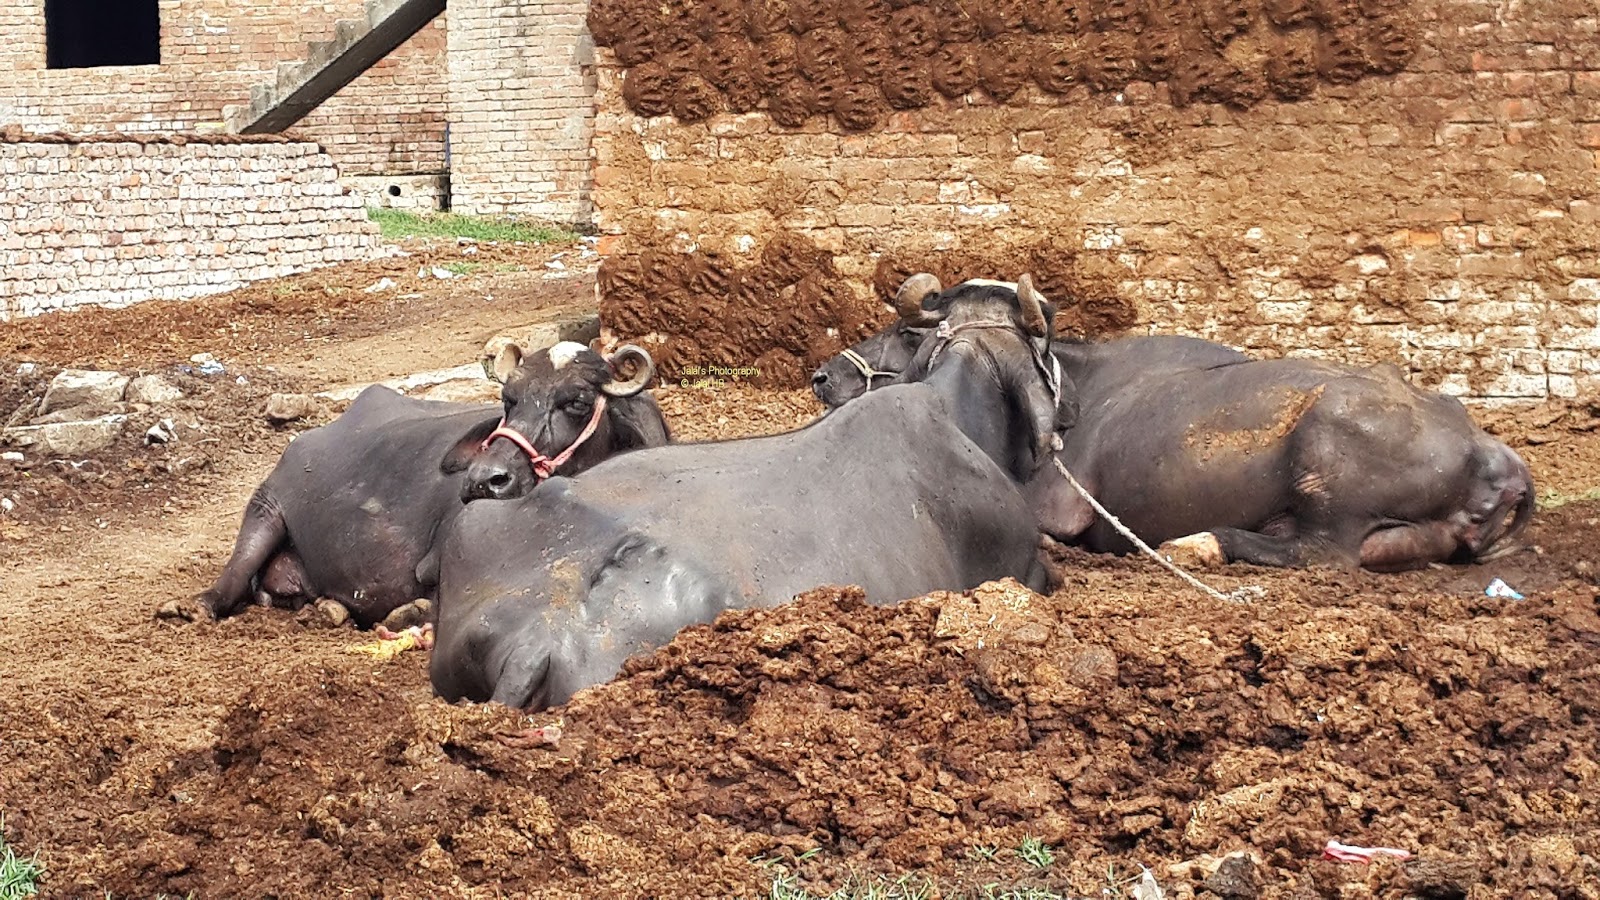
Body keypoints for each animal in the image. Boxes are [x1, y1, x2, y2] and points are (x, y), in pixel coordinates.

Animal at [175, 342, 669, 628]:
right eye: (508, 400)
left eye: (578, 402)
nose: (484, 480)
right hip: (266, 504)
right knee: (237, 569)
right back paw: (196, 604)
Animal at [815, 288, 1535, 571]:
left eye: (909, 332)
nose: (824, 376)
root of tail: (1487, 449)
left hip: (1328, 464)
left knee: (1320, 553)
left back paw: (1198, 544)